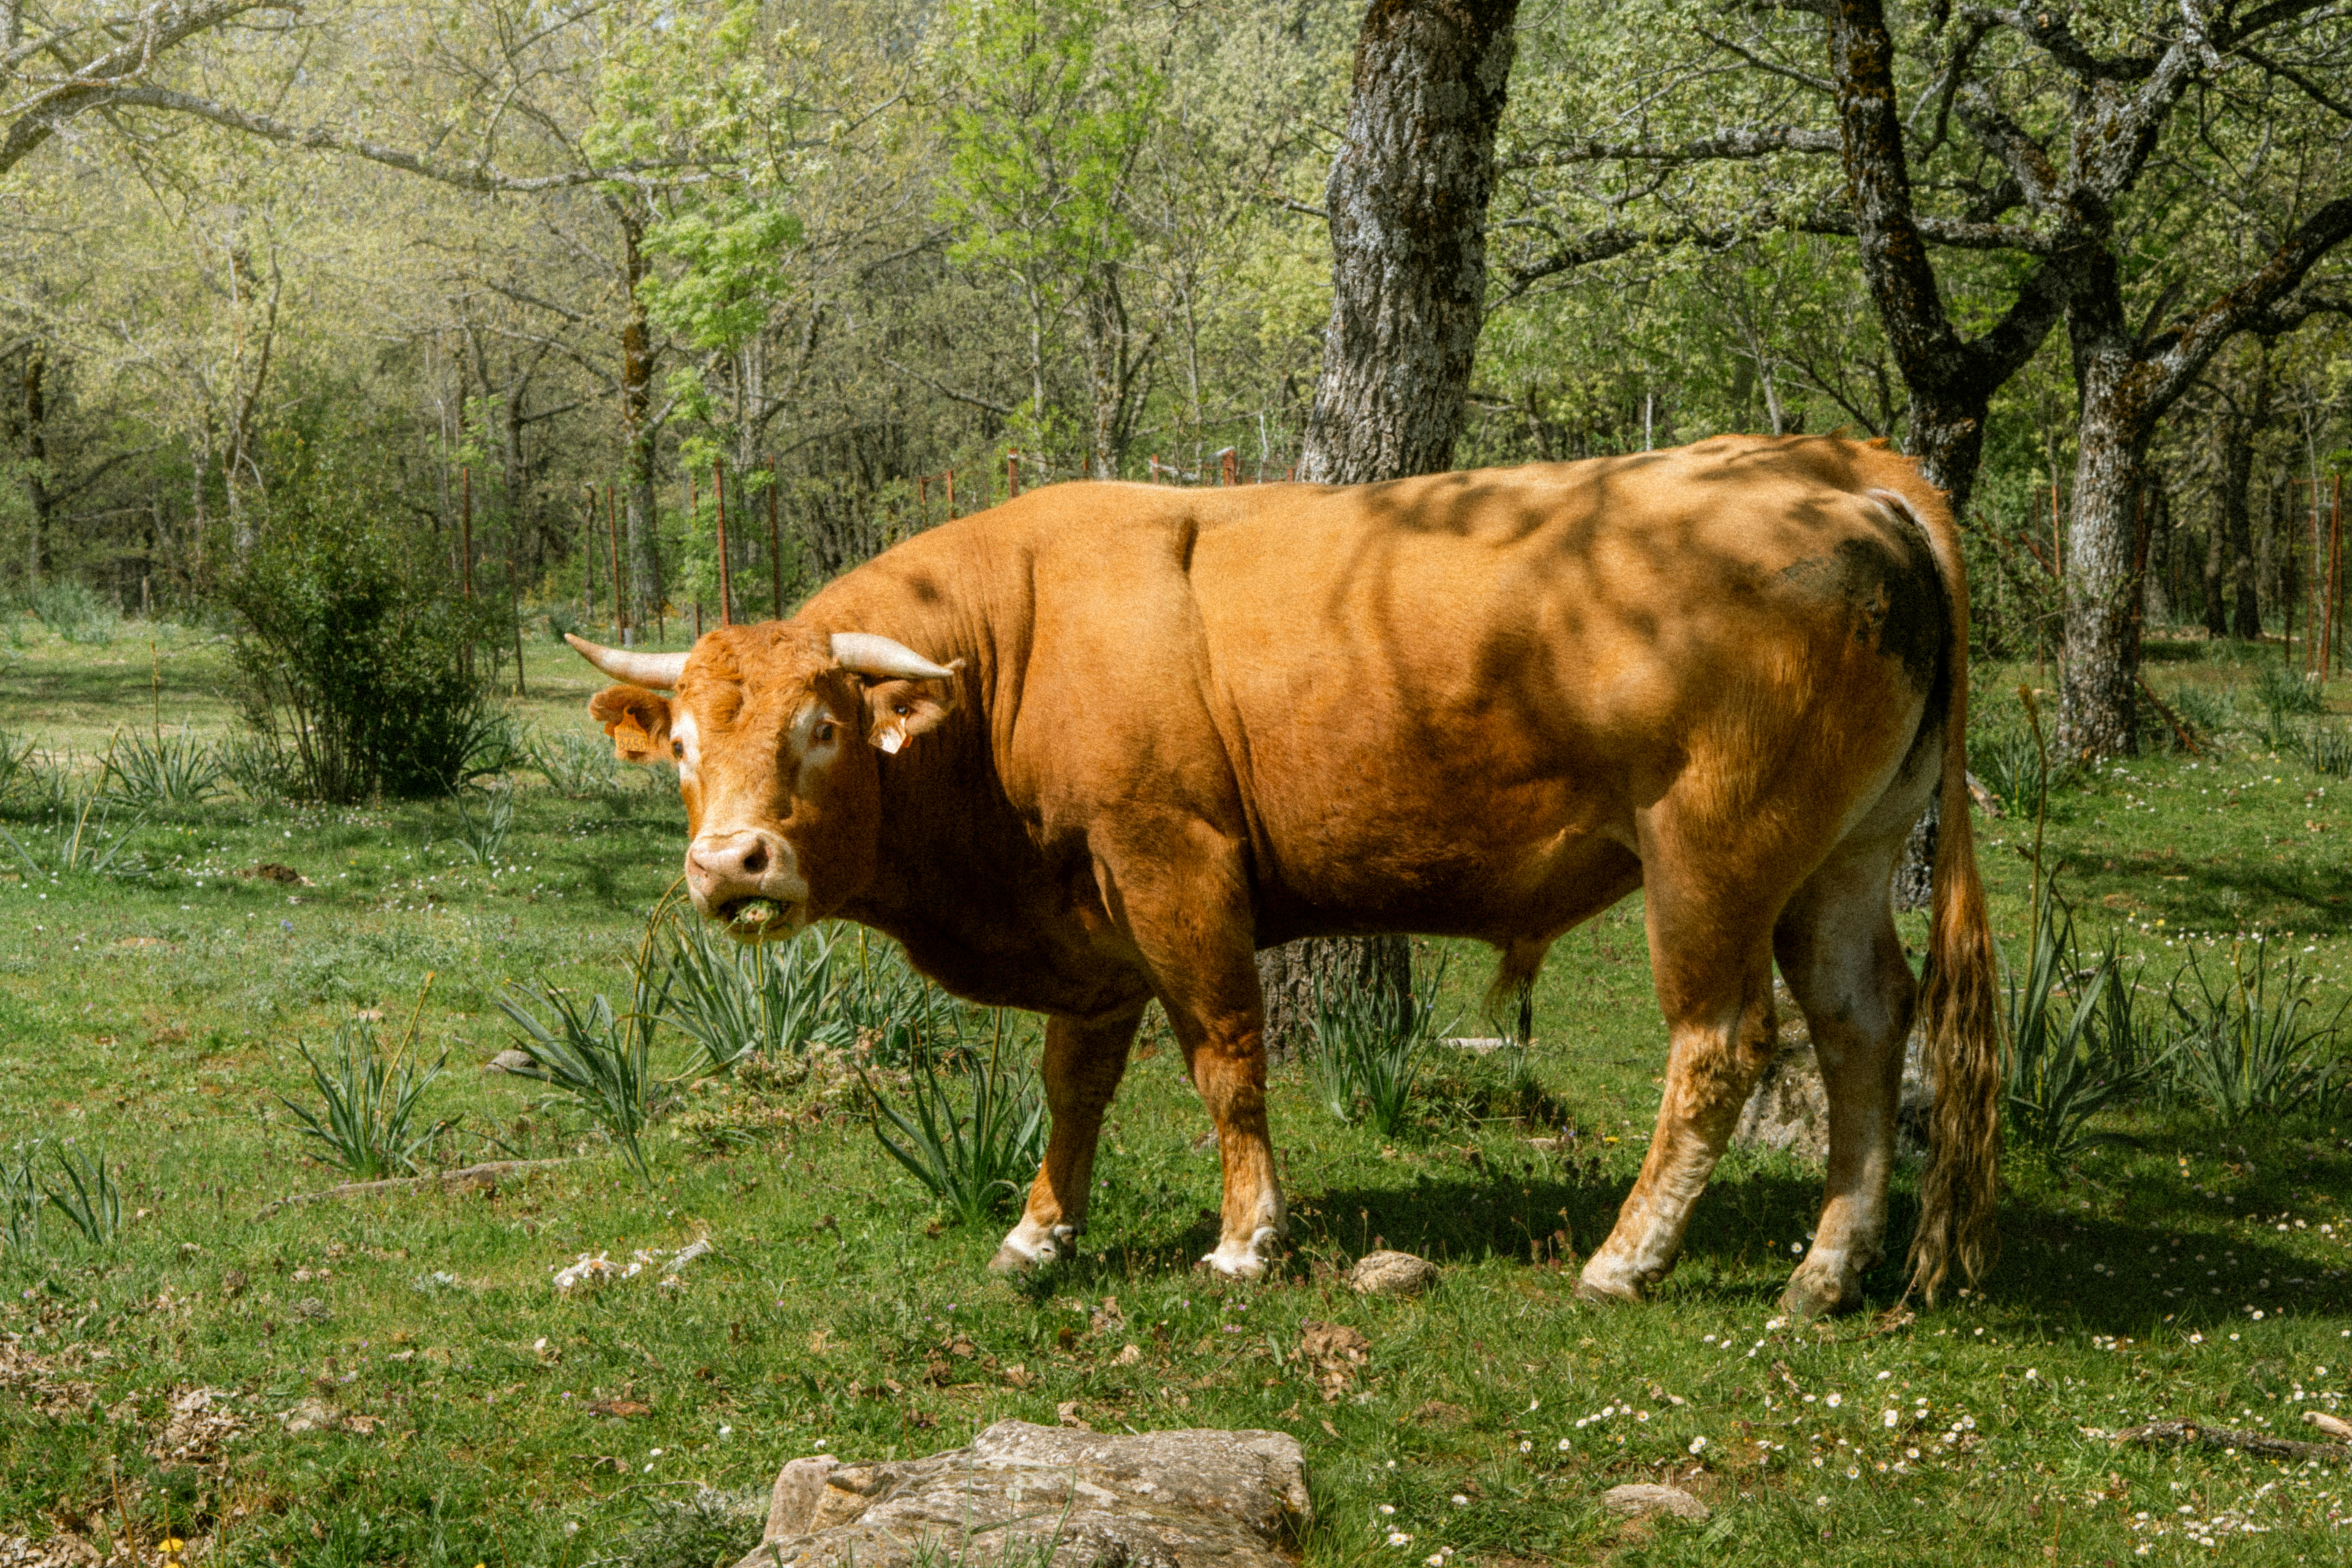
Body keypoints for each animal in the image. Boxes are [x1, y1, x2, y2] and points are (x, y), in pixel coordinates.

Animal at [567, 434, 2001, 1317]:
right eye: (682, 743)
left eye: (820, 724)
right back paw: (1825, 1268)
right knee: (1862, 1023)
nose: (729, 861)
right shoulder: (1092, 921)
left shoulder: (1176, 864)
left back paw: (1625, 1256)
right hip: (1844, 856)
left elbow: (1222, 1054)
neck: (1011, 655)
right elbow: (1075, 1084)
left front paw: (1247, 1236)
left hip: (1712, 856)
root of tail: (1840, 467)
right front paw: (1040, 1232)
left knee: (1723, 1041)